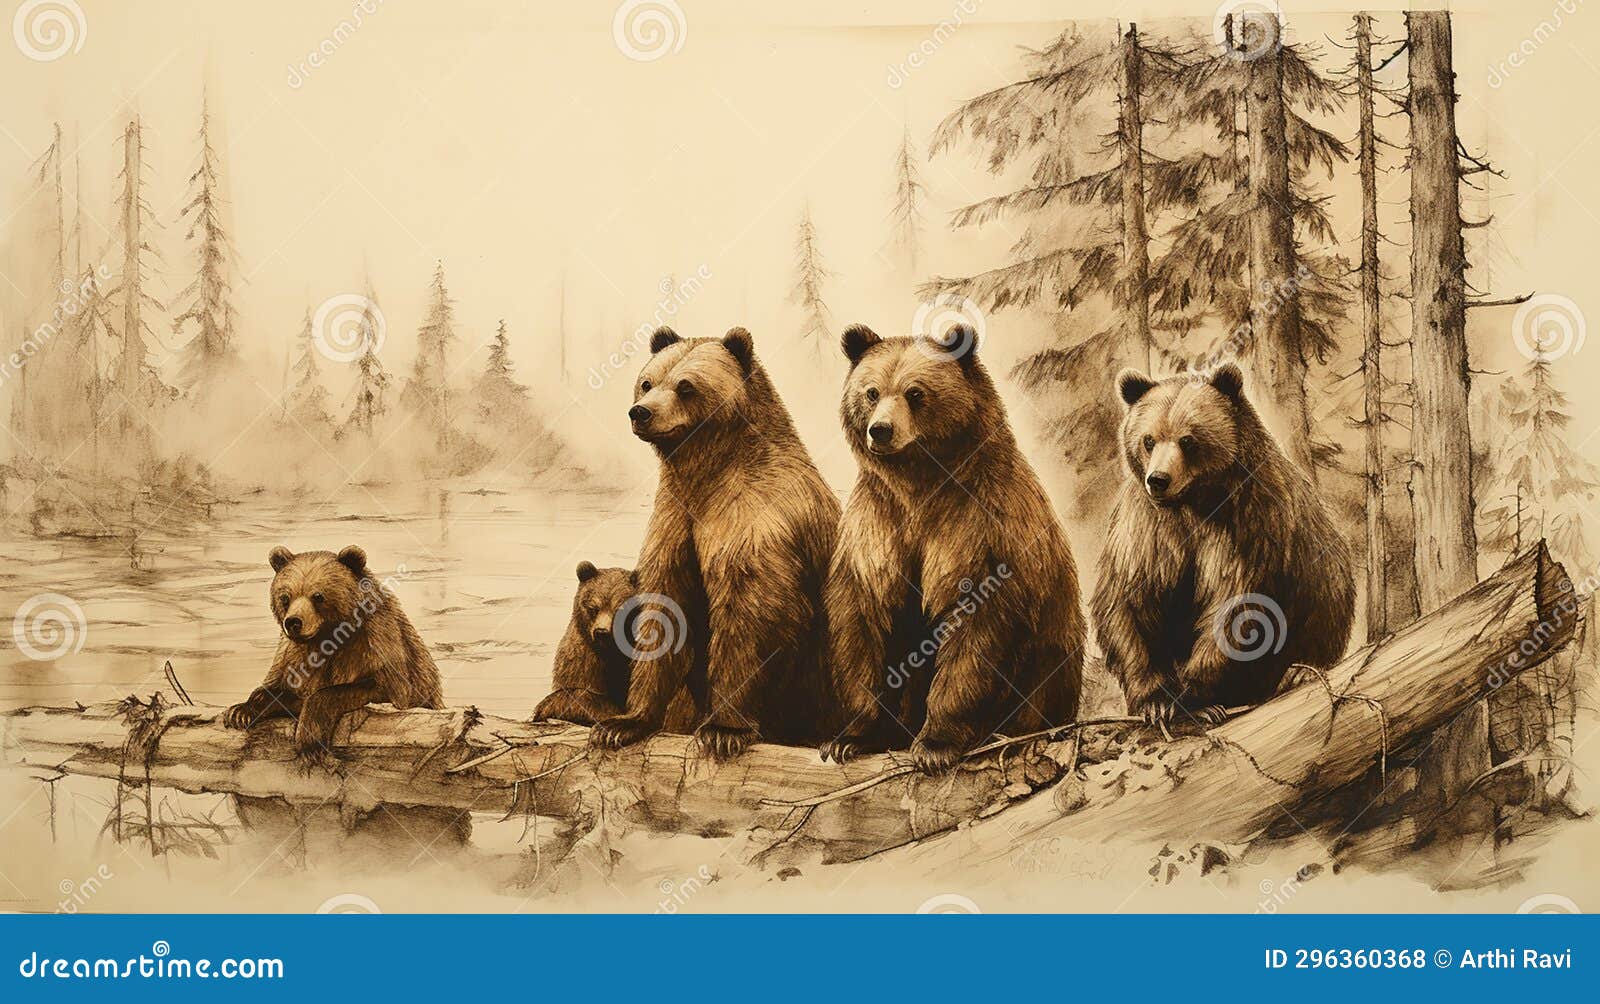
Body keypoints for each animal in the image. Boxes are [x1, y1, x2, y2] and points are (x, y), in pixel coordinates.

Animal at [223, 545, 443, 764]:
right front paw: (240, 712)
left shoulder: (375, 646)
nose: (293, 622)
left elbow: (375, 688)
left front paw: (310, 742)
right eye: (285, 597)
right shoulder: (293, 655)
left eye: (318, 596)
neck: (326, 638)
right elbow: (278, 686)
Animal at [589, 326, 840, 760]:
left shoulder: (757, 520)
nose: (640, 412)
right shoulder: (675, 520)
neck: (705, 473)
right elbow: (666, 608)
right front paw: (624, 723)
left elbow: (751, 614)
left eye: (686, 386)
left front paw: (724, 729)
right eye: (647, 382)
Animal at [819, 323, 1085, 774]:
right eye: (871, 392)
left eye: (915, 392)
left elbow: (975, 628)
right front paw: (850, 738)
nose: (880, 430)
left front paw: (936, 743)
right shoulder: (876, 526)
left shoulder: (977, 525)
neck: (919, 484)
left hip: (1053, 646)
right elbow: (863, 616)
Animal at [1093, 364, 1356, 729]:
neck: (1195, 502)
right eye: (1148, 440)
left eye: (1188, 440)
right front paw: (1155, 700)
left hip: (1325, 576)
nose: (1158, 480)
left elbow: (1234, 605)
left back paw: (1297, 673)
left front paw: (1193, 696)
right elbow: (1130, 598)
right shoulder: (1149, 529)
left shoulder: (1248, 524)